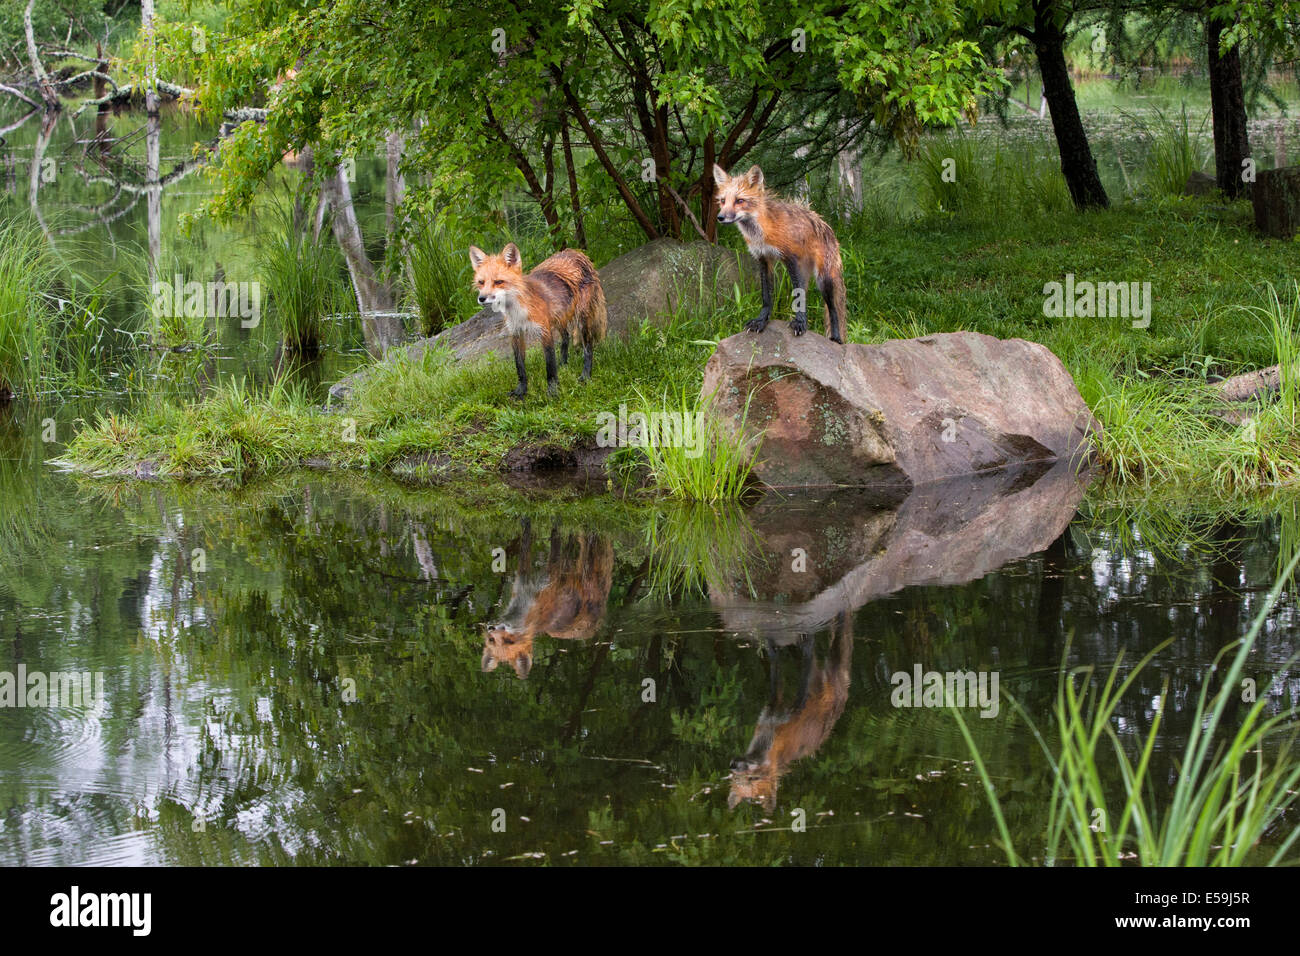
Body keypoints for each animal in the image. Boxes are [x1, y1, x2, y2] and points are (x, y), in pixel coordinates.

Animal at [468, 243, 608, 399]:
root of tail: (576, 252)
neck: (518, 311)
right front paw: (521, 391)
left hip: (581, 318)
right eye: (481, 282)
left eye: (498, 282)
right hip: (558, 317)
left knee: (588, 347)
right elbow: (520, 366)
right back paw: (563, 364)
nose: (482, 298)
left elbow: (550, 366)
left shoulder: (544, 331)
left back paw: (585, 375)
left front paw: (553, 391)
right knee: (566, 337)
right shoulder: (515, 333)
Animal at [482, 520, 615, 679]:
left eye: (509, 641)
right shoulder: (523, 580)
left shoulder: (550, 577)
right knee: (570, 550)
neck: (528, 606)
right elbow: (526, 547)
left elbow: (551, 544)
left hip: (586, 566)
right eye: (491, 640)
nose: (491, 628)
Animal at [713, 164, 847, 344]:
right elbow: (767, 295)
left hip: (823, 279)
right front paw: (761, 320)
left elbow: (798, 294)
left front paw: (800, 323)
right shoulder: (763, 259)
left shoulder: (790, 258)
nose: (720, 217)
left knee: (833, 309)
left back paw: (836, 338)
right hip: (807, 274)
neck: (762, 232)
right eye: (722, 201)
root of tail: (828, 229)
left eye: (739, 201)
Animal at [728, 611, 853, 812]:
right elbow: (774, 669)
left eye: (755, 778)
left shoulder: (786, 716)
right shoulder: (771, 709)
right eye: (740, 781)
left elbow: (797, 694)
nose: (733, 765)